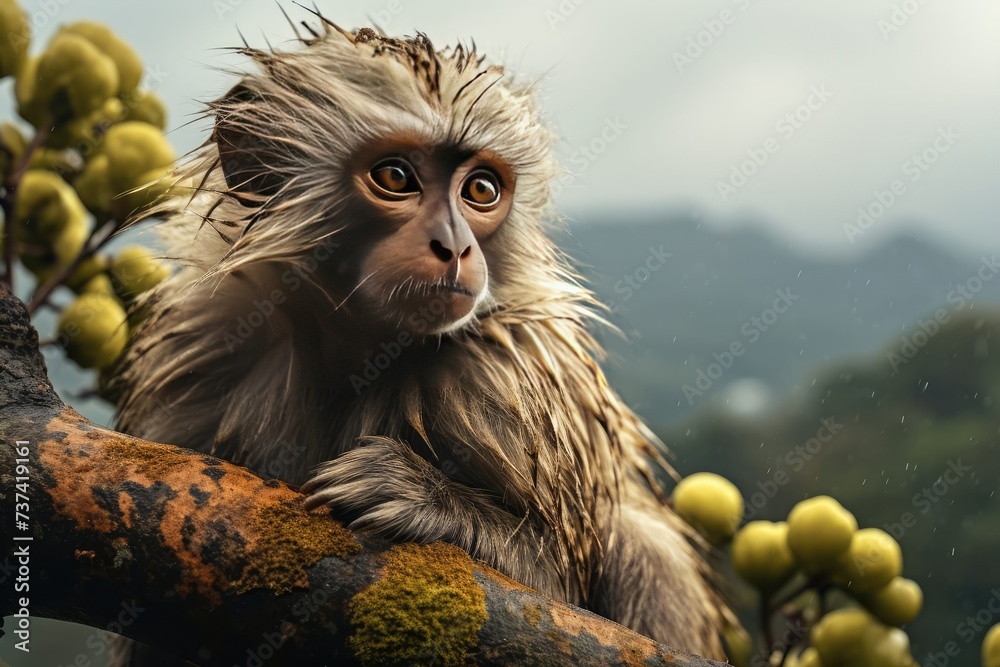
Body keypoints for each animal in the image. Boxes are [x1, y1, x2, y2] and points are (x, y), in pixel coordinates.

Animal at [114, 12, 732, 663]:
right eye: (395, 177)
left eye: (481, 189)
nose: (455, 246)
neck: (355, 345)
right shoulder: (204, 350)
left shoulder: (505, 380)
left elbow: (560, 599)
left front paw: (425, 501)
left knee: (646, 546)